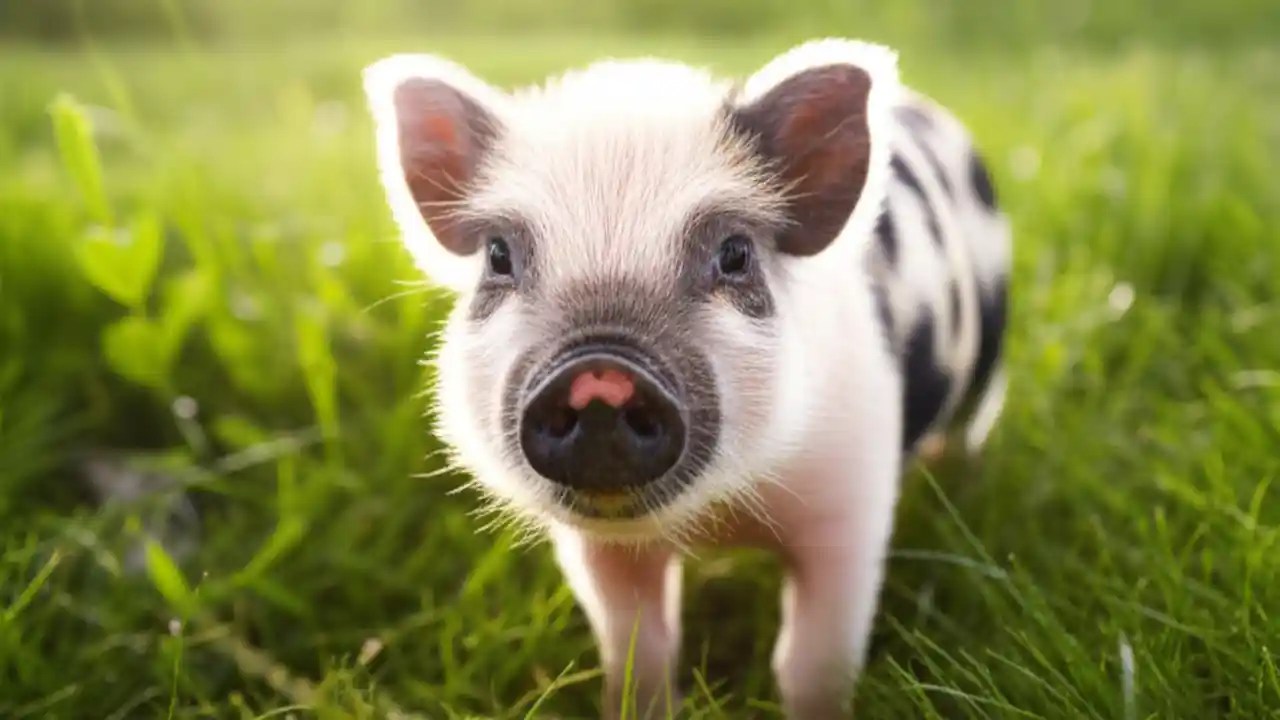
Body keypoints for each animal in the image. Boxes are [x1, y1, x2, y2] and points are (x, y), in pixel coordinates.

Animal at [363, 37, 1011, 719]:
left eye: (735, 254)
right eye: (498, 256)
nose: (599, 374)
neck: (720, 517)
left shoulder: (850, 496)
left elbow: (812, 662)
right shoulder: (599, 548)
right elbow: (637, 648)